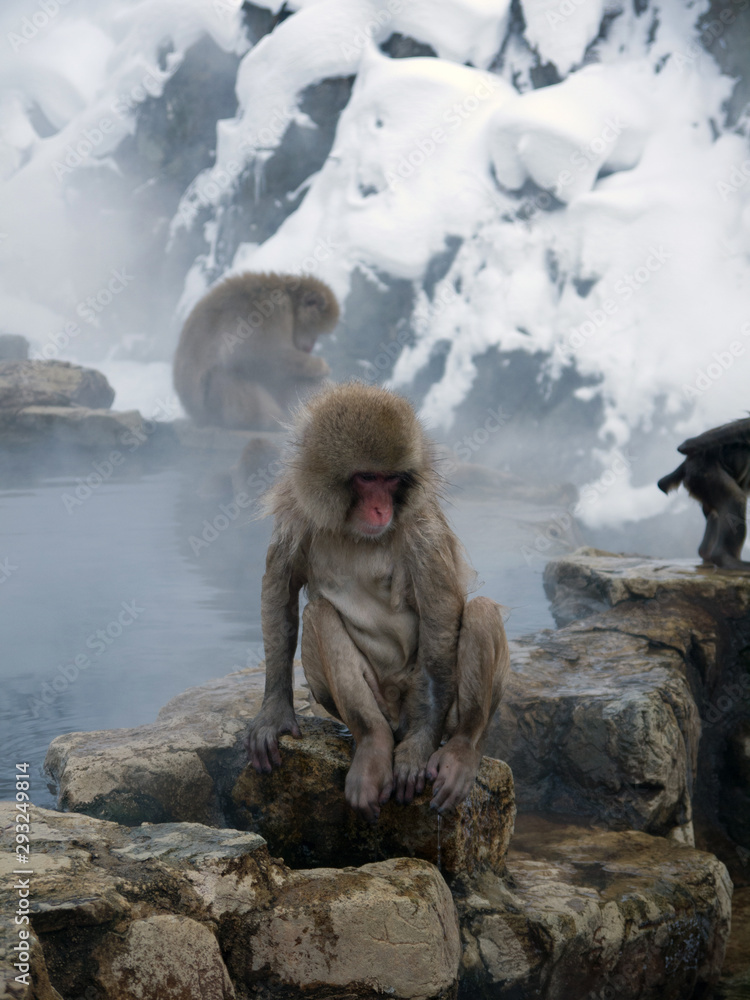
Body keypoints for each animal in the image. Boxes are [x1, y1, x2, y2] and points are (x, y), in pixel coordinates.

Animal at [173, 273, 339, 430]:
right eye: (314, 331)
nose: (311, 346)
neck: (289, 298)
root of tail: (196, 416)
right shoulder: (272, 310)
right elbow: (253, 355)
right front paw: (319, 366)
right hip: (213, 406)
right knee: (225, 372)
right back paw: (271, 422)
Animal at [246, 382, 510, 822]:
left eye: (391, 480)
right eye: (367, 477)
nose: (380, 508)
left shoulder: (424, 532)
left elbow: (439, 624)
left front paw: (418, 750)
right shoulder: (295, 513)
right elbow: (280, 591)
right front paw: (275, 711)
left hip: (433, 706)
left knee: (479, 613)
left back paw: (461, 748)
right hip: (379, 705)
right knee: (318, 615)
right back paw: (373, 743)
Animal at [658, 417, 750, 569]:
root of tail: (686, 466)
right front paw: (689, 444)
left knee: (715, 512)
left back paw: (706, 553)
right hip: (705, 473)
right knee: (734, 499)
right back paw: (726, 559)